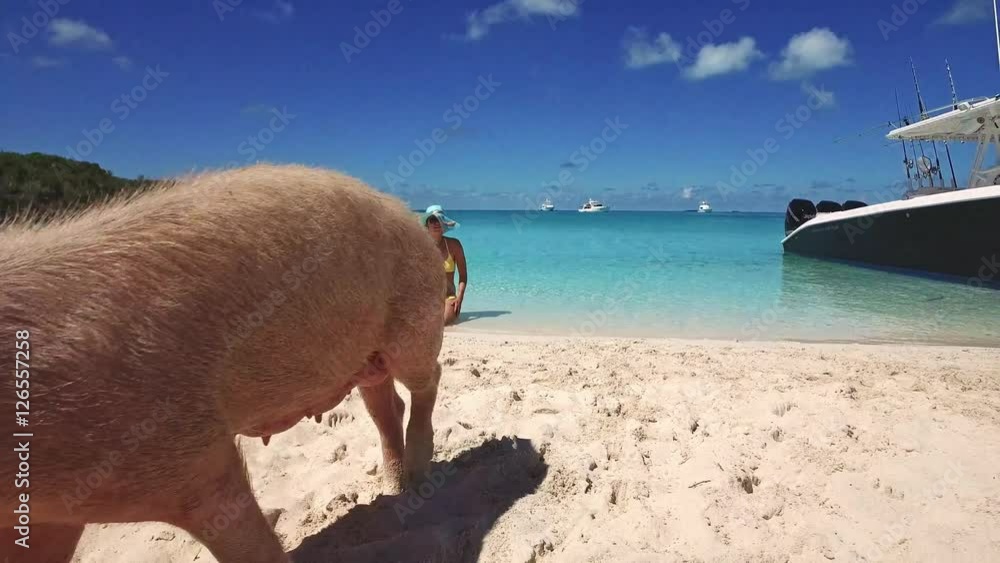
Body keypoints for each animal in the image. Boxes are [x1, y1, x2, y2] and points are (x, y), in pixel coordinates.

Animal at [0, 164, 446, 563]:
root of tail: (405, 212)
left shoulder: (184, 446)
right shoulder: (50, 513)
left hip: (415, 313)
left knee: (426, 378)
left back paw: (420, 476)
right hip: (364, 356)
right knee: (383, 402)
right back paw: (395, 489)